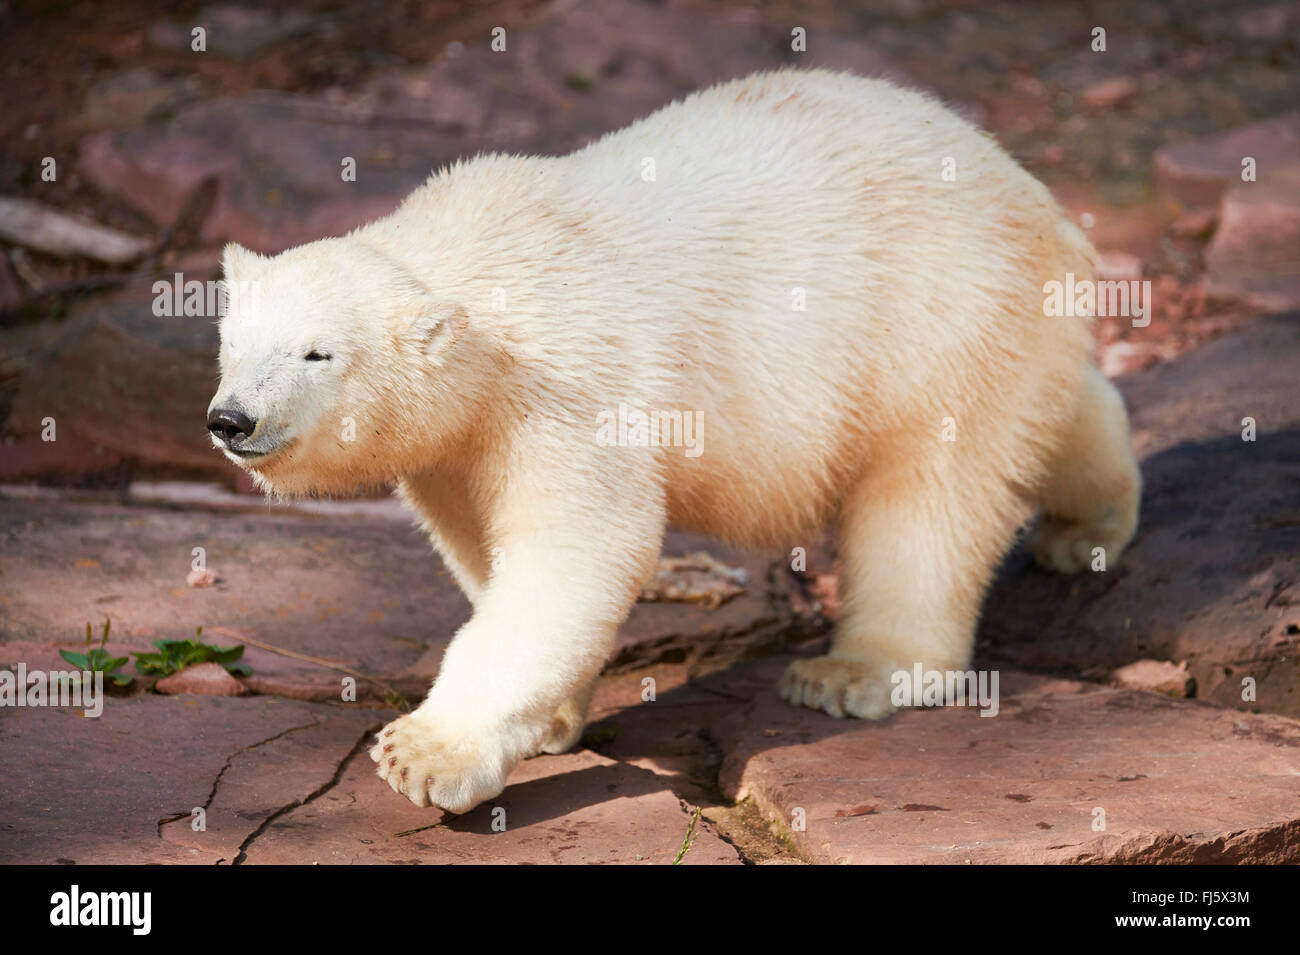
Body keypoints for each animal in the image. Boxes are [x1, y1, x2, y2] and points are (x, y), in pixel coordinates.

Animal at [207, 68, 1141, 813]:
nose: (231, 419)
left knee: (928, 496)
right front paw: (552, 716)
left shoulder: (565, 384)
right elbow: (485, 545)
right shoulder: (457, 443)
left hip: (937, 318)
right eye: (233, 341)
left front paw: (427, 754)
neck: (481, 281)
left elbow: (578, 549)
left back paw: (856, 671)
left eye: (317, 352)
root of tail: (1038, 198)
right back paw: (1089, 523)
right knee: (1049, 411)